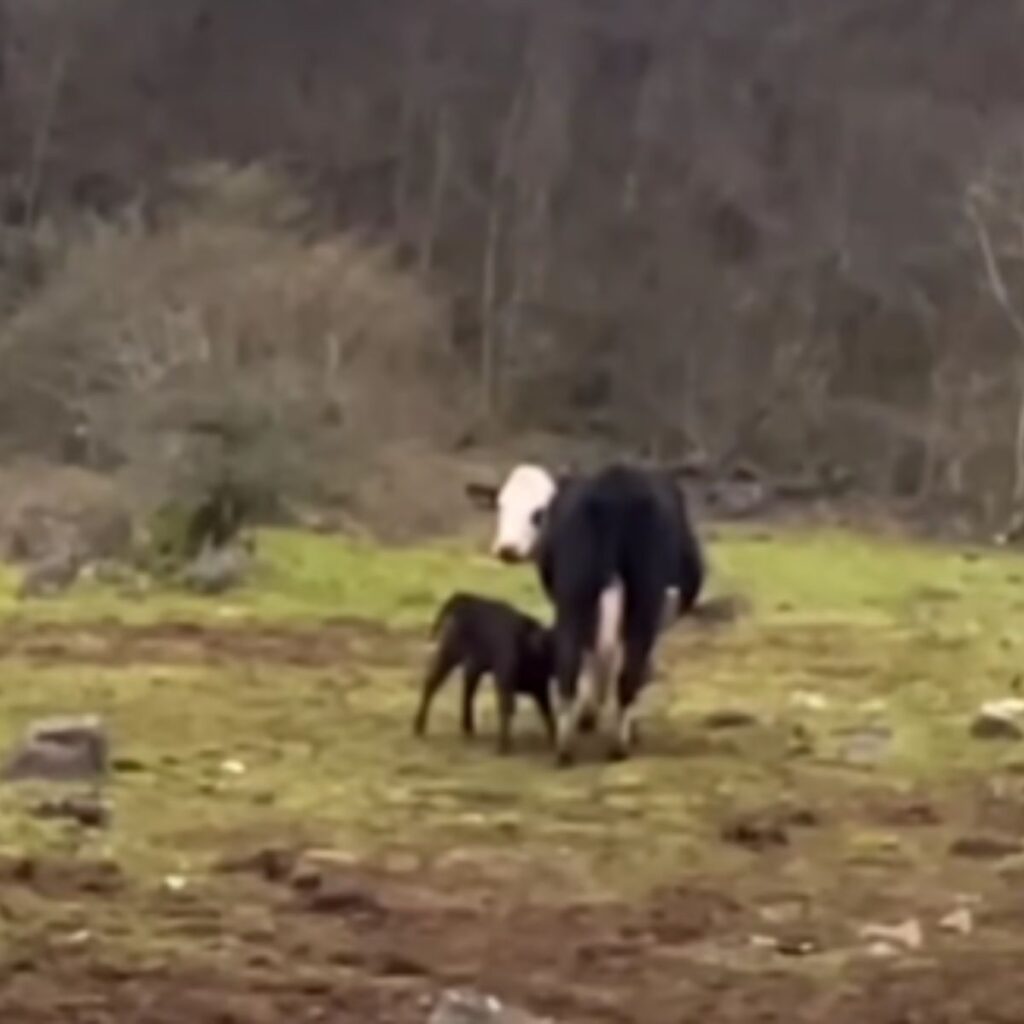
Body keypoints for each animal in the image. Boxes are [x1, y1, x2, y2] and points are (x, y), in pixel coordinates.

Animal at [412, 591, 556, 754]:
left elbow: (547, 711)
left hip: (473, 665)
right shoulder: (505, 679)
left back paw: (467, 727)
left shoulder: (540, 688)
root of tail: (465, 599)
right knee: (431, 684)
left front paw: (553, 739)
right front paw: (503, 746)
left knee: (467, 690)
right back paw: (419, 725)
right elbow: (508, 707)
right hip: (448, 655)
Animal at [466, 461, 705, 765]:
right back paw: (612, 741)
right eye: (501, 505)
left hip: (577, 591)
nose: (507, 549)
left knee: (574, 662)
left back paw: (567, 745)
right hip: (633, 593)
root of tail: (616, 484)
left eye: (538, 513)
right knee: (621, 667)